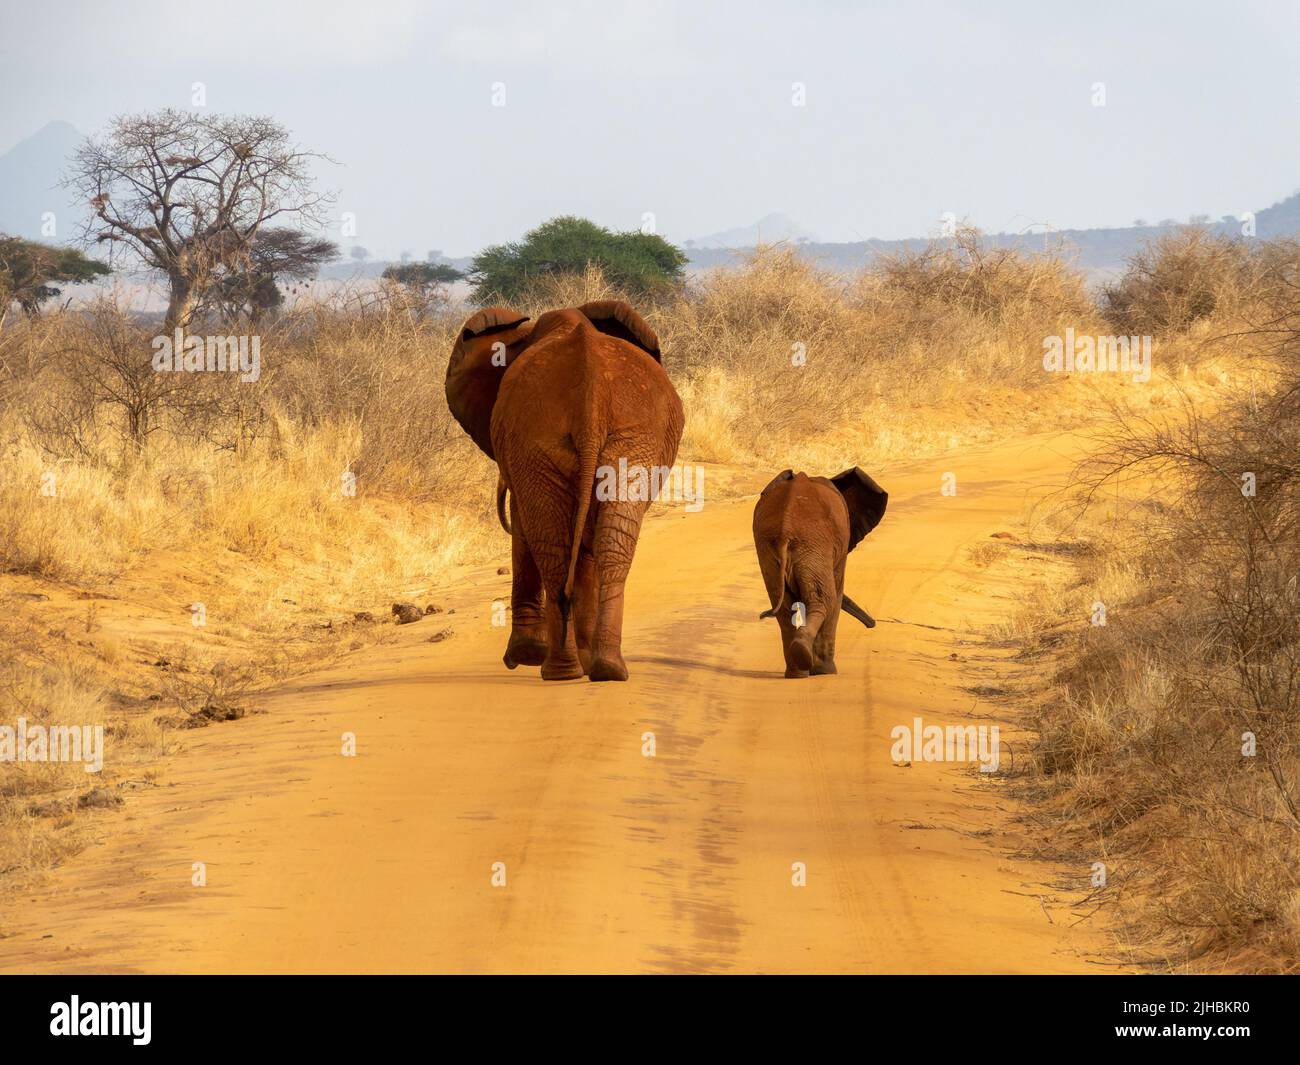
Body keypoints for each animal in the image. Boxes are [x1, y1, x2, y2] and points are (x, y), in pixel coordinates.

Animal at [446, 300, 684, 681]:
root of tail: (591, 388)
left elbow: (525, 526)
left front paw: (527, 654)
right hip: (626, 442)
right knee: (607, 542)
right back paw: (601, 668)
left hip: (555, 442)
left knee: (555, 544)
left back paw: (563, 668)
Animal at [752, 467, 888, 678]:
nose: (872, 624)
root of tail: (784, 529)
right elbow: (837, 593)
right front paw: (826, 672)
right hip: (813, 545)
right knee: (824, 599)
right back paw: (817, 667)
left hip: (772, 550)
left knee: (784, 607)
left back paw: (796, 671)